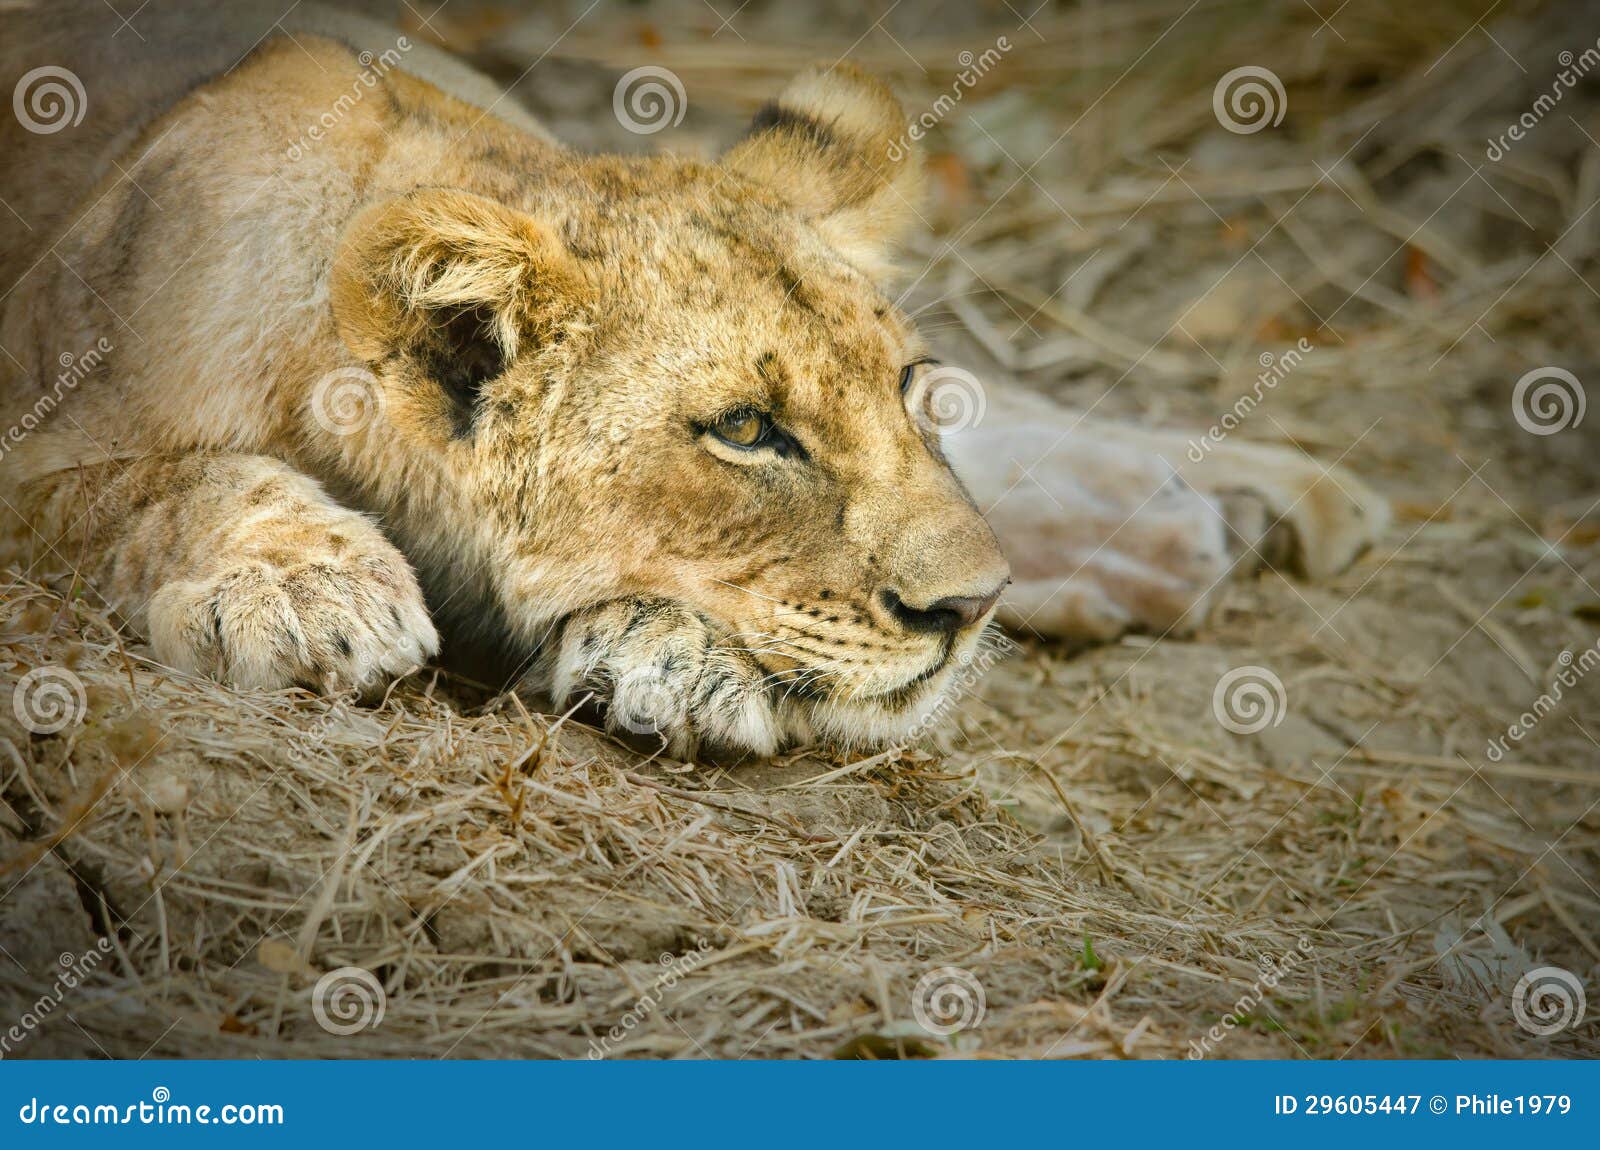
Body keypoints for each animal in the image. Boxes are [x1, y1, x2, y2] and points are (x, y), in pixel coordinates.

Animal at [0, 0, 1387, 756]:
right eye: (748, 430)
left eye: (909, 388)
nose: (968, 607)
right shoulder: (42, 425)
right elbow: (152, 484)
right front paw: (299, 583)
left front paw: (677, 650)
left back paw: (1222, 514)